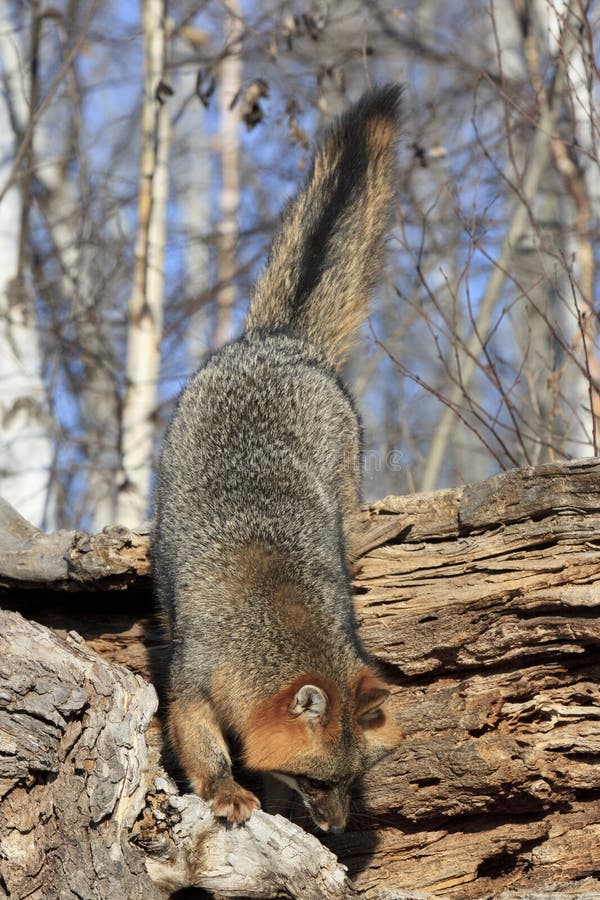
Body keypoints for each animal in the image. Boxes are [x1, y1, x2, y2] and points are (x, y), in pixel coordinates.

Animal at [153, 84, 402, 833]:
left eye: (355, 780)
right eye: (314, 780)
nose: (340, 829)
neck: (274, 612)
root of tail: (280, 340)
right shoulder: (190, 684)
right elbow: (202, 745)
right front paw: (226, 788)